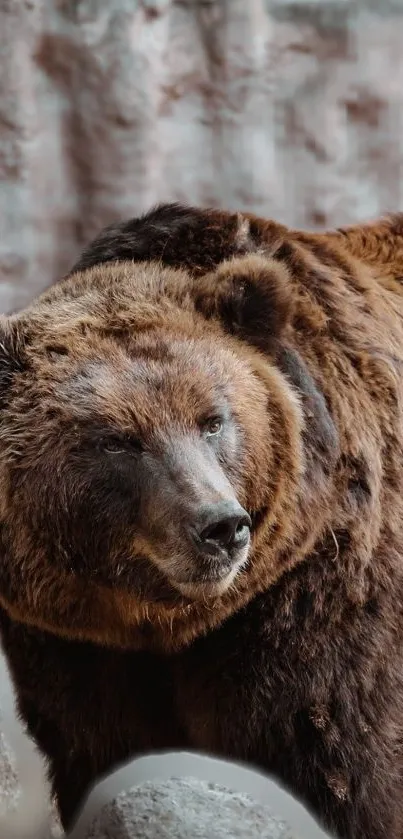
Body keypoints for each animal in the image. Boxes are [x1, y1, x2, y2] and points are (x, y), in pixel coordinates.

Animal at [0, 203, 403, 839]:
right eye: (117, 441)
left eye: (213, 420)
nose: (221, 526)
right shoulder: (74, 645)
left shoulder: (317, 601)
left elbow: (342, 765)